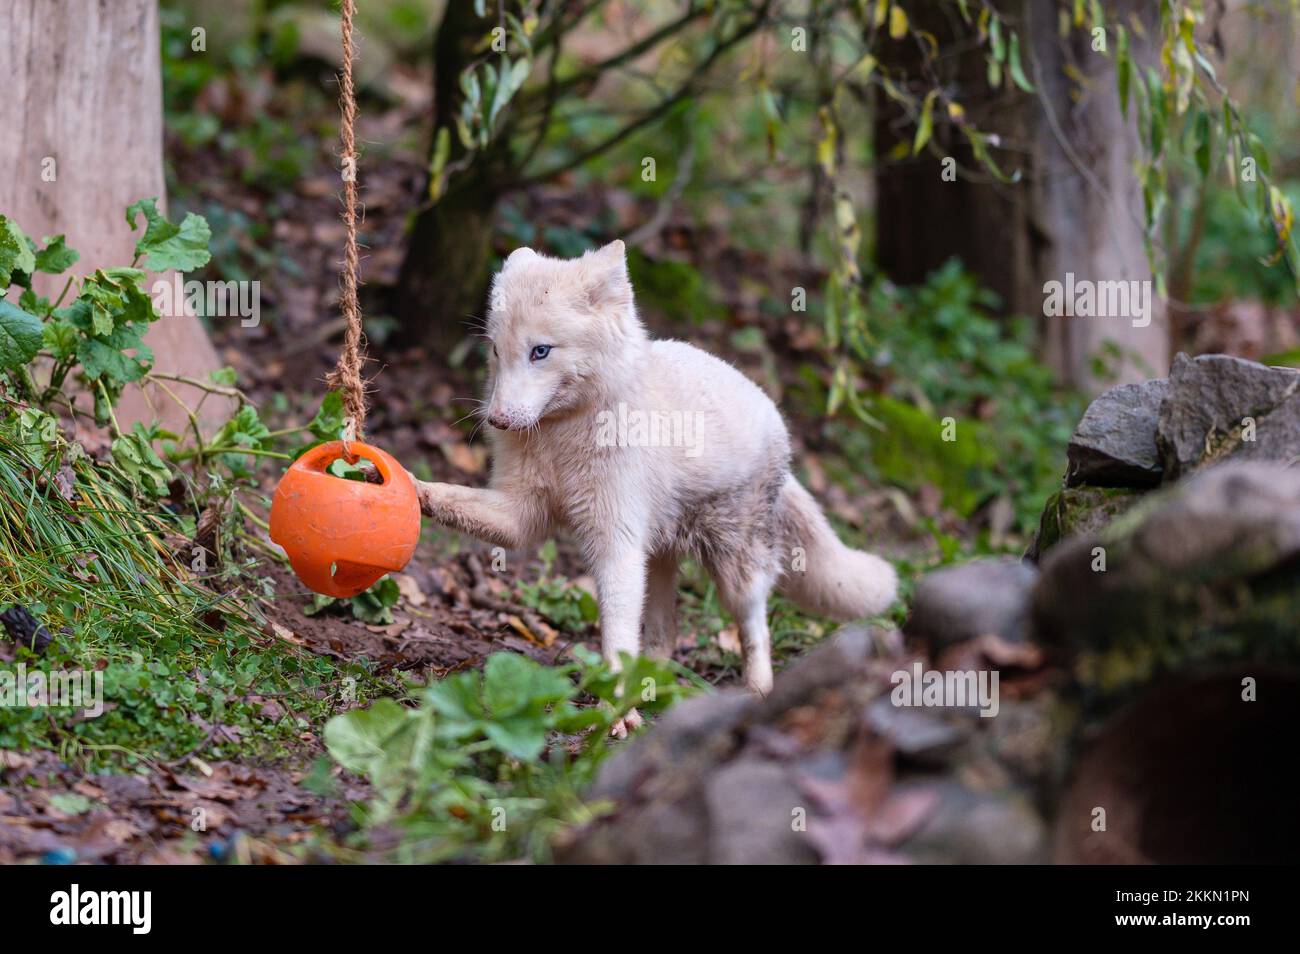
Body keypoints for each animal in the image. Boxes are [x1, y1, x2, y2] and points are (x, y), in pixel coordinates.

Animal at [410, 240, 897, 725]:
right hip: (659, 560)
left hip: (734, 574)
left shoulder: (616, 546)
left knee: (756, 628)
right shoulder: (522, 516)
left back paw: (756, 692)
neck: (563, 436)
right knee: (667, 634)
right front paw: (412, 486)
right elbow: (457, 499)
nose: (497, 420)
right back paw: (650, 688)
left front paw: (613, 711)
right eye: (496, 350)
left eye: (541, 351)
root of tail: (777, 422)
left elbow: (616, 636)